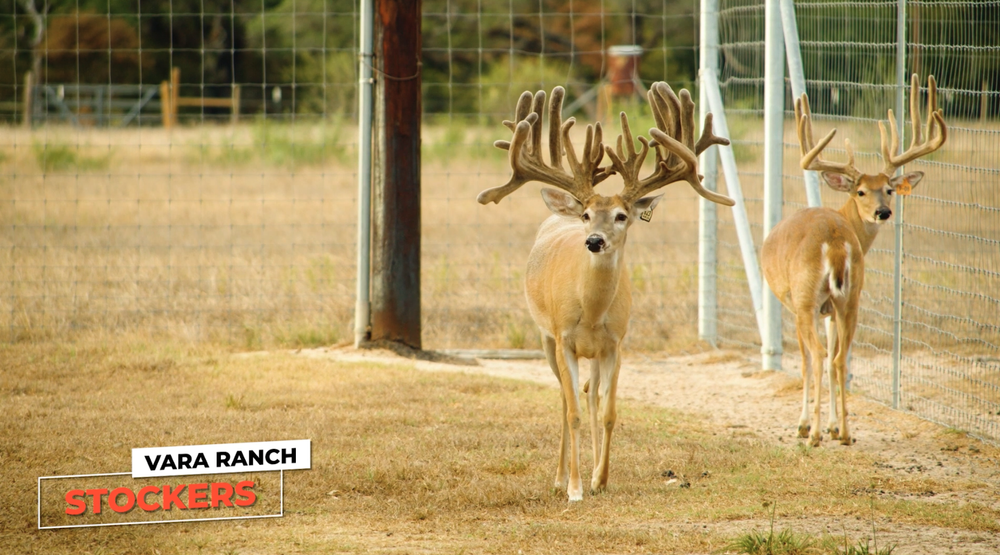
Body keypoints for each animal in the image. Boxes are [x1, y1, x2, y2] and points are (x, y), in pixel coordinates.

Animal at [477, 82, 735, 501]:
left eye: (621, 215)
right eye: (586, 215)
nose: (594, 241)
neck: (592, 311)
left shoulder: (616, 342)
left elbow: (608, 411)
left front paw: (600, 477)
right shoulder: (564, 337)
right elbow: (572, 412)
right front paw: (575, 487)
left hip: (594, 353)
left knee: (591, 393)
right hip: (545, 336)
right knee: (565, 396)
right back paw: (559, 477)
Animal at [761, 74, 947, 447]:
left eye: (888, 189)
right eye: (861, 191)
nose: (883, 212)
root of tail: (834, 239)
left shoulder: (797, 304)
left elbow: (804, 360)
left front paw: (806, 424)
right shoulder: (832, 308)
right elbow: (835, 356)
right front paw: (834, 425)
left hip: (806, 297)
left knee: (818, 355)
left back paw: (814, 435)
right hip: (851, 297)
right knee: (839, 358)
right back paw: (845, 433)